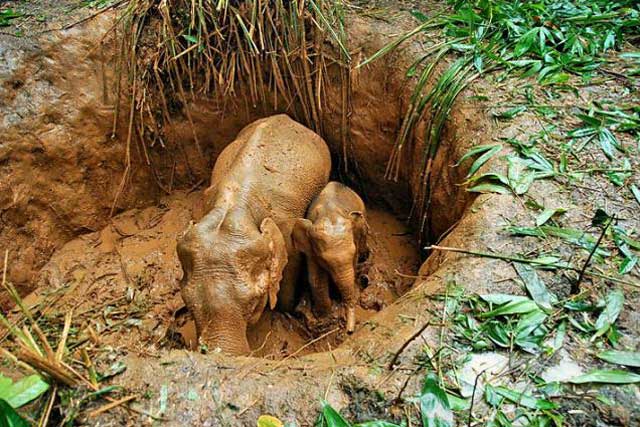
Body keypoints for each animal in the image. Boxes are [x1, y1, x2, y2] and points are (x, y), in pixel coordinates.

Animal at [176, 114, 331, 355]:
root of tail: (286, 117)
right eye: (188, 303)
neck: (233, 205)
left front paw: (284, 310)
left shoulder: (286, 229)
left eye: (254, 302)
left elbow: (290, 268)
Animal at [292, 181, 369, 333]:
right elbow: (316, 278)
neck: (330, 213)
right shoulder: (311, 250)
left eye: (353, 252)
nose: (350, 331)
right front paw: (323, 316)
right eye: (324, 260)